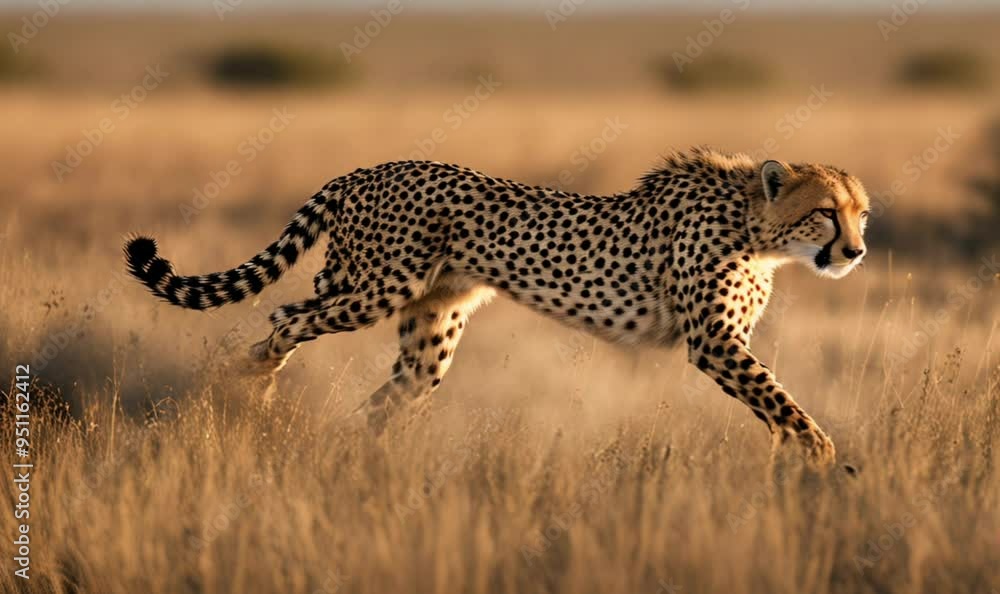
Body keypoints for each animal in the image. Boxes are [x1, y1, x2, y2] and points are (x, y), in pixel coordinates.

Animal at [124, 147, 870, 470]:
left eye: (861, 213)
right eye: (826, 213)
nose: (857, 252)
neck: (753, 225)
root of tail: (368, 169)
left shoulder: (722, 341)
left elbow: (772, 400)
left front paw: (802, 457)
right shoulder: (713, 342)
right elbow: (779, 397)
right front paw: (822, 455)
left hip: (424, 327)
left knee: (387, 393)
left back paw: (357, 456)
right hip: (373, 285)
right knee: (284, 318)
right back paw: (253, 388)